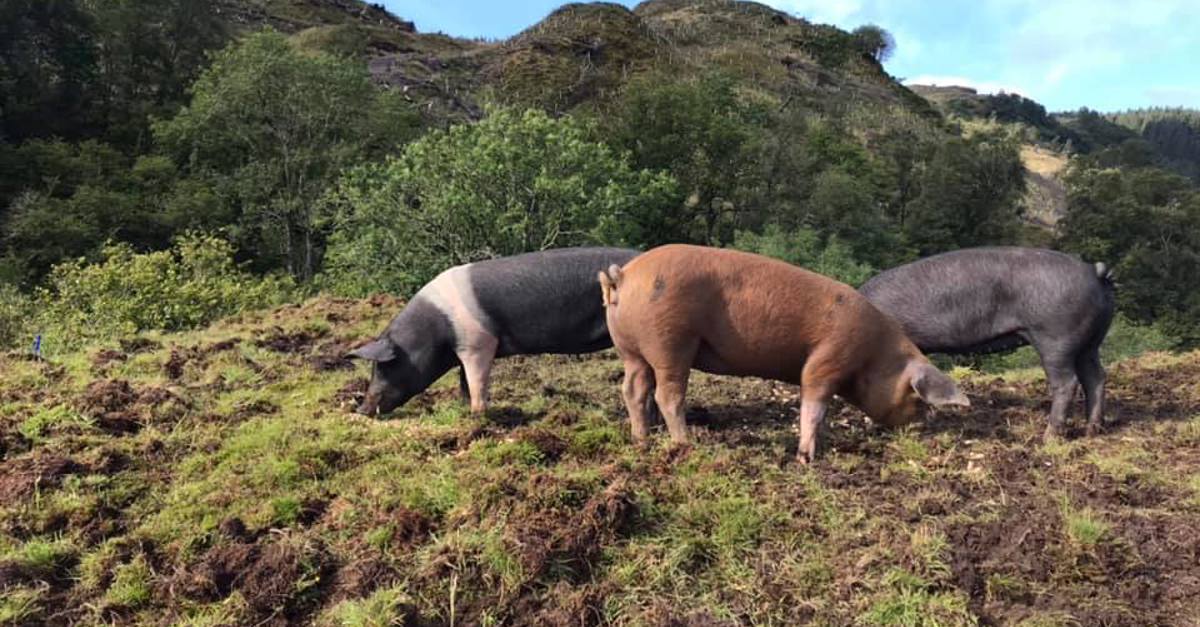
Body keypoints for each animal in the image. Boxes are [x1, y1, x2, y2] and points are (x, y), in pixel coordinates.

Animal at [348, 247, 640, 415]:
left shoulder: (479, 342)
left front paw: (478, 415)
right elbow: (463, 381)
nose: (361, 409)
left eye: (385, 365)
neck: (436, 328)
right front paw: (463, 407)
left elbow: (477, 380)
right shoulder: (464, 348)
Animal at [598, 244, 969, 464]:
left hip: (632, 351)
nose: (926, 427)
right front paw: (806, 458)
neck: (874, 355)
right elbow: (813, 407)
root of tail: (623, 277)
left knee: (632, 390)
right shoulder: (826, 361)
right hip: (670, 342)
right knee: (667, 395)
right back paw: (688, 446)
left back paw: (640, 441)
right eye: (917, 397)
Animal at [859, 247, 1116, 439]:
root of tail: (1093, 271)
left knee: (1067, 383)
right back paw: (1092, 431)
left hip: (1055, 336)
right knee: (1095, 377)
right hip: (1091, 341)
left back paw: (1048, 438)